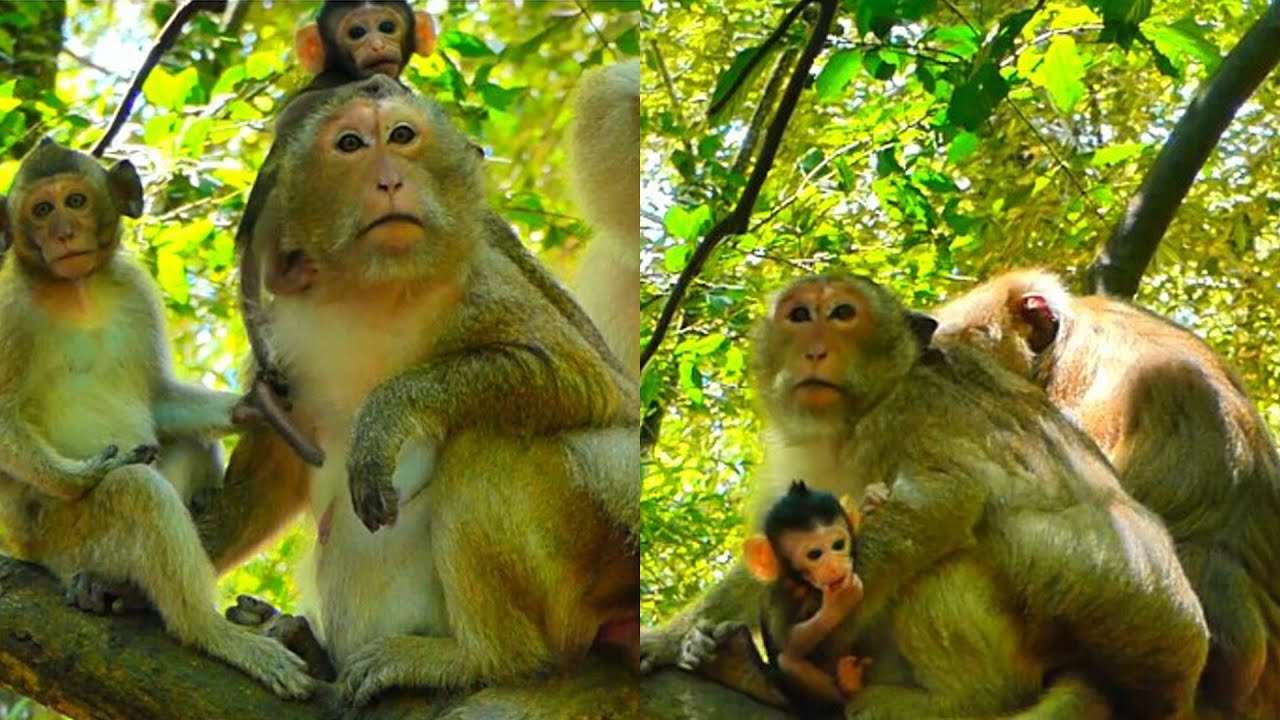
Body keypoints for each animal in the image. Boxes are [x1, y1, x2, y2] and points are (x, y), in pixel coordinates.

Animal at [0, 139, 313, 699]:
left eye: (75, 201)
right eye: (40, 210)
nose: (63, 233)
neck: (76, 289)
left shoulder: (134, 289)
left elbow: (157, 398)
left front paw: (251, 406)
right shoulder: (9, 309)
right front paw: (88, 473)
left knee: (192, 443)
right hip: (65, 540)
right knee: (137, 493)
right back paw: (212, 632)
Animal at [193, 75, 639, 706]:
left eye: (402, 136)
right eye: (350, 144)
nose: (389, 180)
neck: (380, 291)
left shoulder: (483, 279)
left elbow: (591, 385)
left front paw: (386, 415)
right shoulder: (288, 326)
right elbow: (276, 462)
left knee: (488, 445)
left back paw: (478, 656)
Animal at [745, 480, 871, 711]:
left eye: (838, 545)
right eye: (814, 554)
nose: (834, 566)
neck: (806, 586)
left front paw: (872, 500)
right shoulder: (782, 596)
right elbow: (790, 643)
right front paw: (838, 603)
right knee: (788, 662)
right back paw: (849, 689)